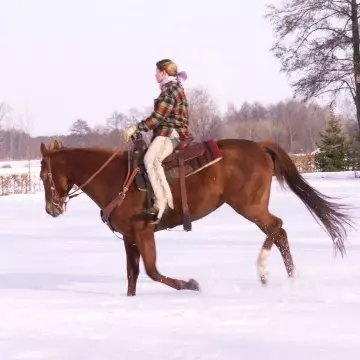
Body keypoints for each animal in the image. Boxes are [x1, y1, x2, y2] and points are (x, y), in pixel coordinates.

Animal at [38, 138, 352, 296]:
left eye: (43, 175)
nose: (51, 209)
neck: (115, 178)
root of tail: (260, 146)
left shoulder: (143, 231)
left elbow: (152, 271)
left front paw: (191, 284)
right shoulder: (129, 237)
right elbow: (132, 275)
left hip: (249, 205)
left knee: (277, 227)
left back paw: (265, 272)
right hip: (252, 206)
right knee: (278, 232)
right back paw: (288, 278)